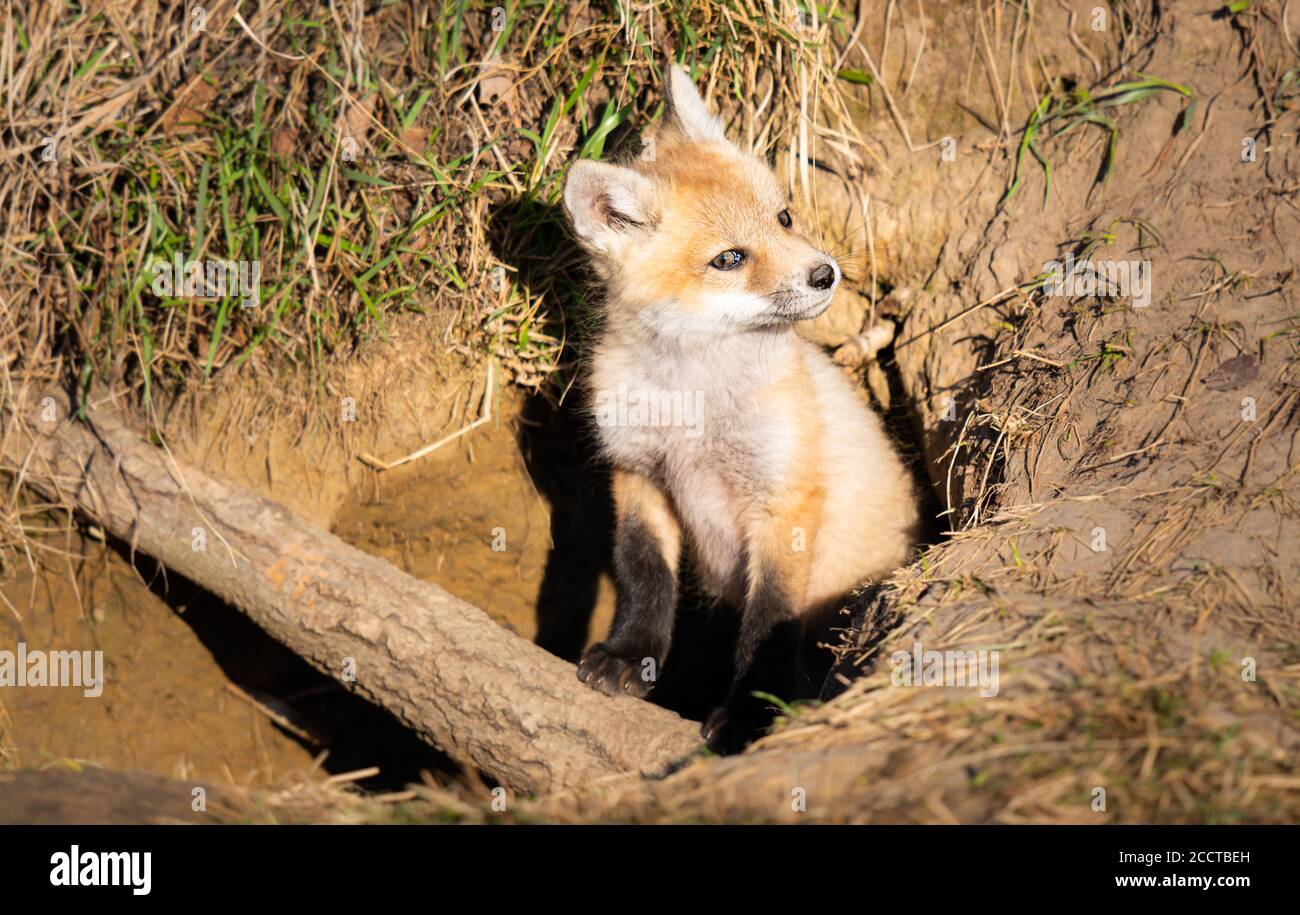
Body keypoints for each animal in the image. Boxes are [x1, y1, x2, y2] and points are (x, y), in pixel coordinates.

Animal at [563, 62, 919, 753]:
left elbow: (770, 624)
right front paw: (630, 656)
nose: (825, 274)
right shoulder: (639, 475)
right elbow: (644, 578)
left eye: (784, 216)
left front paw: (752, 714)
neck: (694, 408)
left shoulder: (785, 499)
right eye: (729, 259)